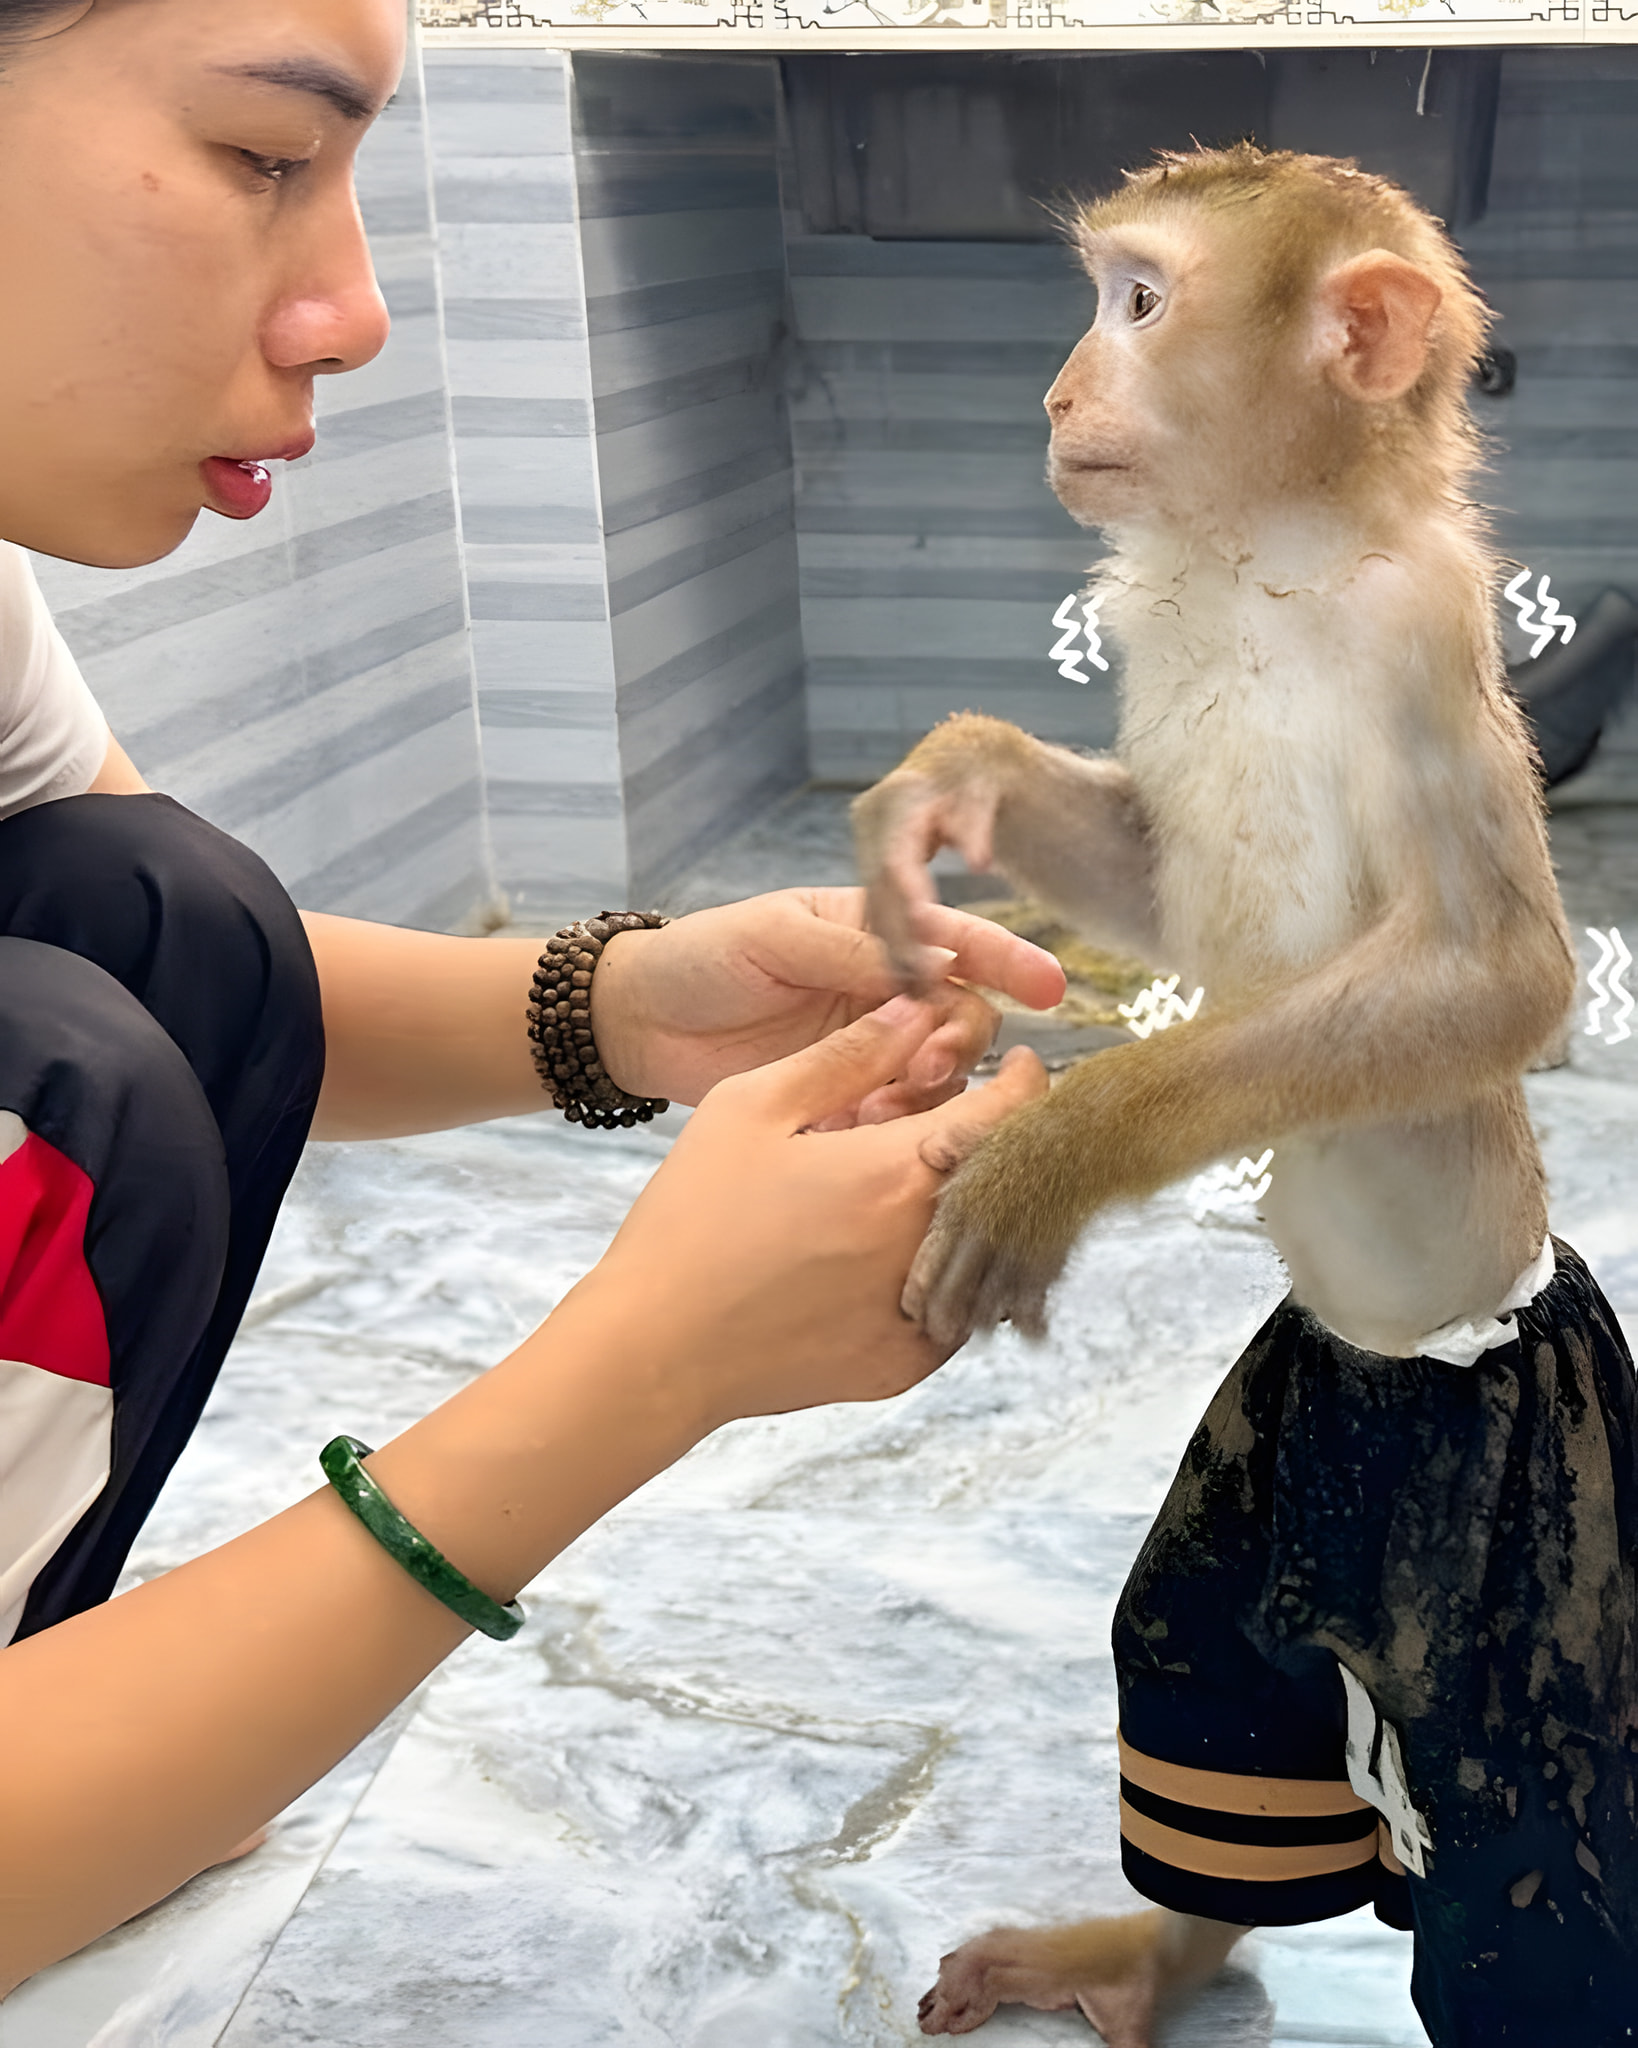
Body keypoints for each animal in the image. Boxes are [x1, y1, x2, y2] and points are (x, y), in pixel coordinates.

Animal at [853, 147, 1638, 2046]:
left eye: (1139, 304)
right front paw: (951, 784)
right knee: (1208, 1685)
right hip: (1274, 1467)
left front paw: (1054, 1147)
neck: (1277, 556)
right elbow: (1143, 884)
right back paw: (1158, 1950)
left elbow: (1497, 984)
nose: (1055, 392)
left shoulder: (1415, 636)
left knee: (1533, 1868)